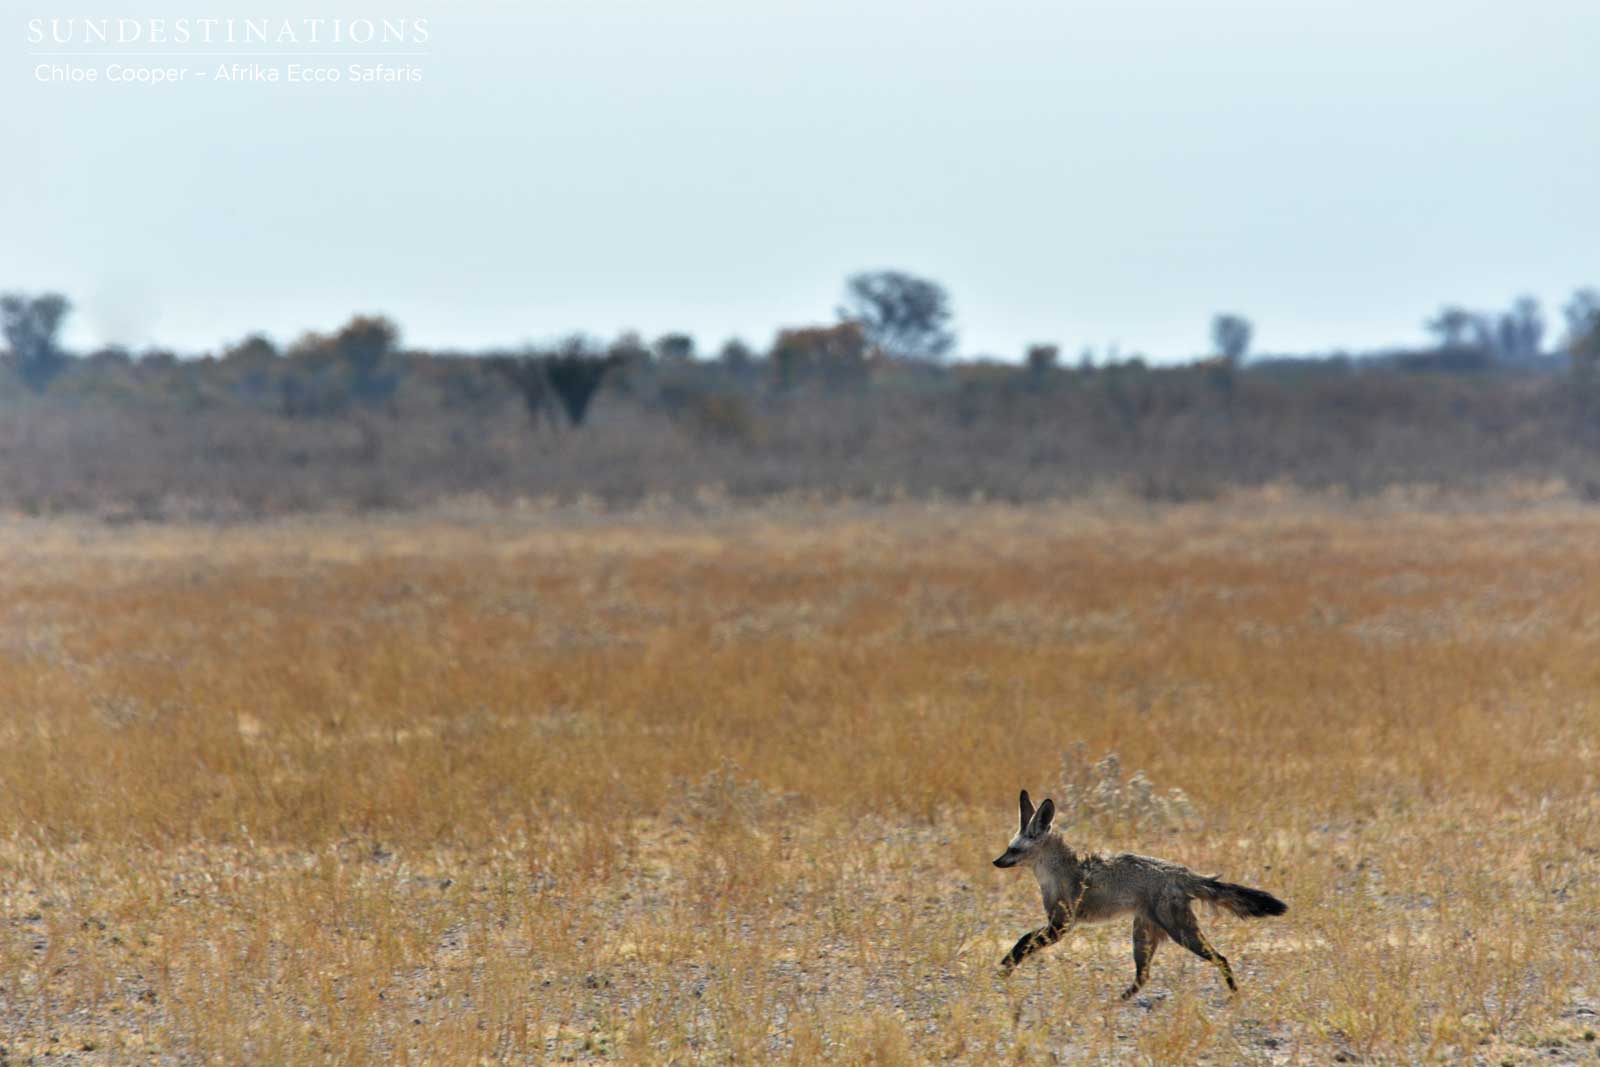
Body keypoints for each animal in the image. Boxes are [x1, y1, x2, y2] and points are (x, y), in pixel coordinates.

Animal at [993, 789, 1286, 998]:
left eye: (1013, 850)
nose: (996, 862)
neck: (1058, 873)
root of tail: (1183, 872)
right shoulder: (1057, 923)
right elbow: (1024, 940)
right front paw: (1006, 967)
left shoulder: (1062, 925)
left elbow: (1024, 941)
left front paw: (1006, 966)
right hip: (1143, 934)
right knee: (1143, 976)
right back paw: (1118, 1001)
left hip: (1179, 933)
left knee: (1220, 958)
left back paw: (1234, 994)